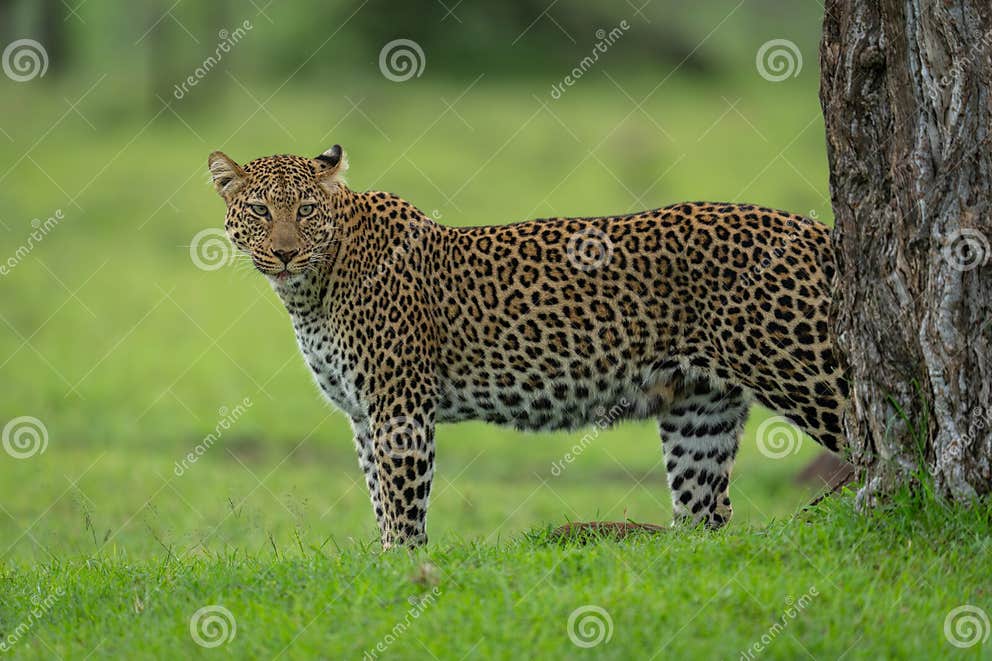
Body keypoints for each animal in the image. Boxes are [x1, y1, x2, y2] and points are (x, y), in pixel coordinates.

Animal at [207, 145, 849, 549]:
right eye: (260, 210)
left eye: (306, 210)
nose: (285, 251)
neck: (308, 290)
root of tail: (817, 229)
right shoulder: (364, 415)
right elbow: (378, 497)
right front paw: (386, 564)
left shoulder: (400, 408)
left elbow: (403, 502)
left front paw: (404, 569)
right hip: (701, 411)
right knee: (707, 515)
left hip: (808, 371)